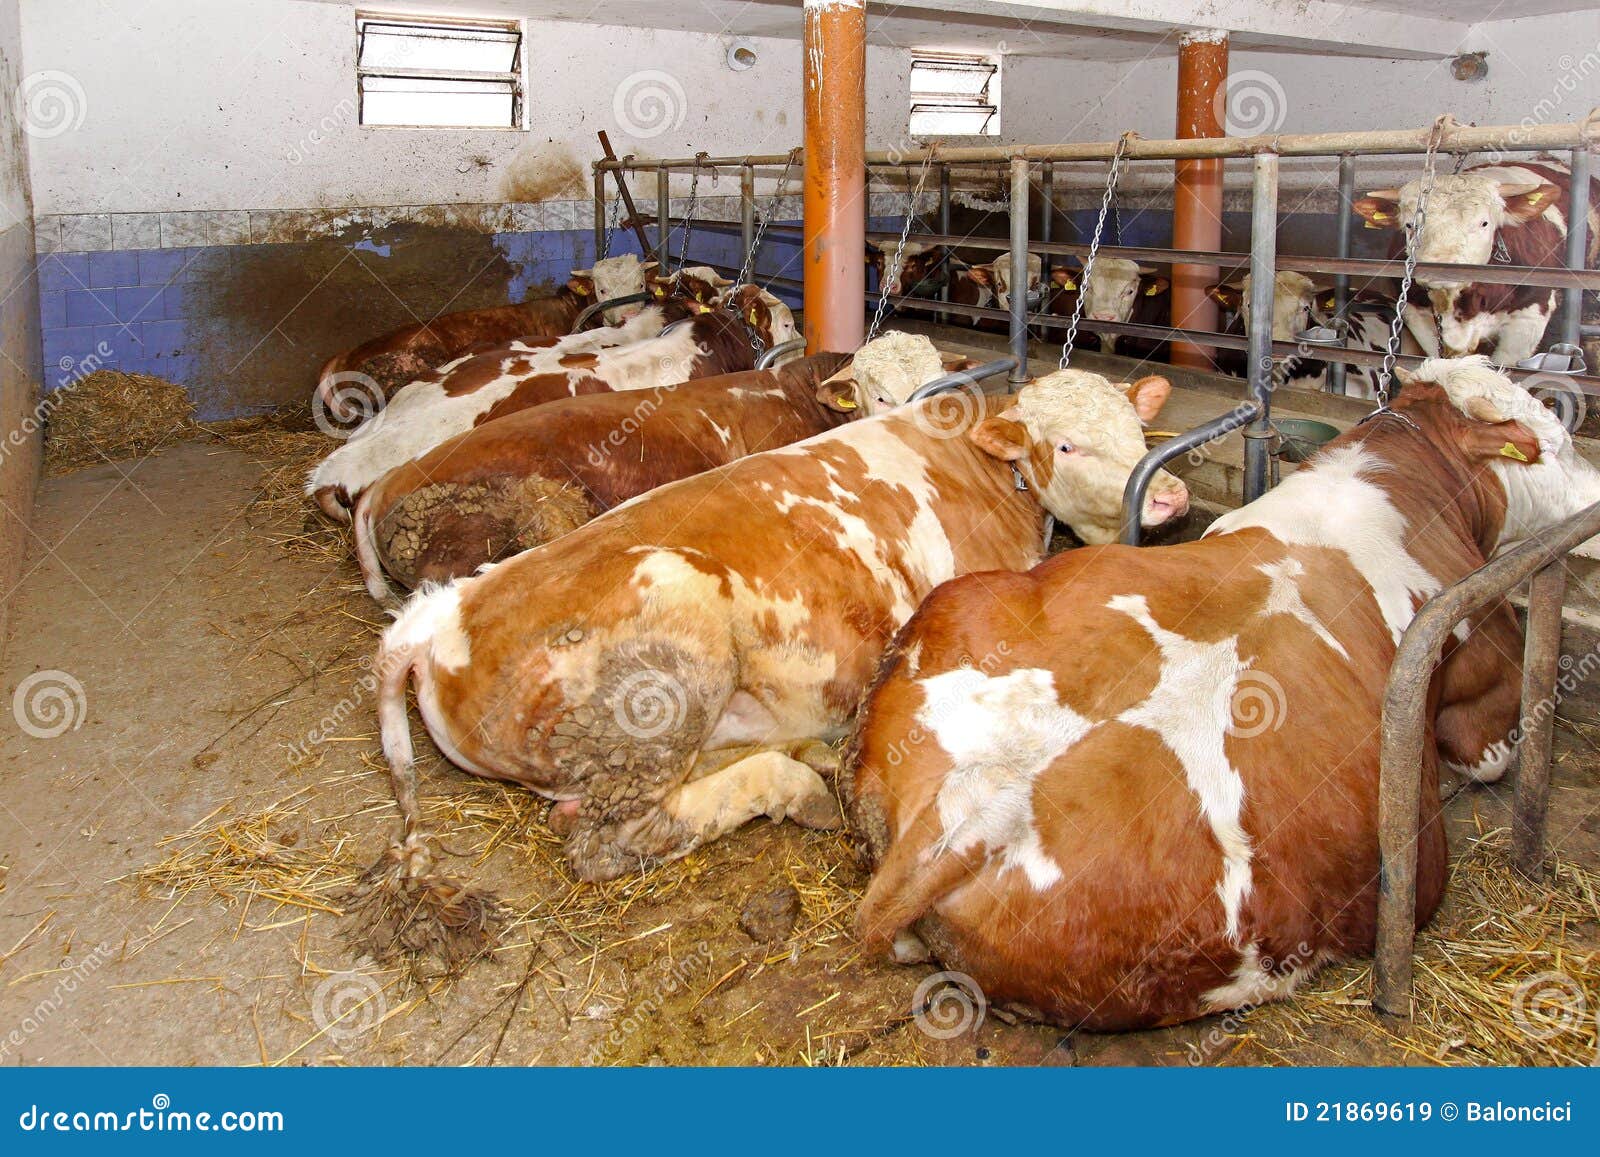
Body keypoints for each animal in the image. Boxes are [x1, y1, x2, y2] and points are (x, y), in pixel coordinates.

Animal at [370, 366, 1190, 890]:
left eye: (1138, 426)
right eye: (1067, 444)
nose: (1172, 494)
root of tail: (441, 610)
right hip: (663, 679)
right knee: (611, 841)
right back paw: (798, 785)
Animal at [844, 355, 1600, 1031]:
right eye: (1554, 444)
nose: (1592, 492)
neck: (1398, 481)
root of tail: (983, 803)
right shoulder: (1487, 684)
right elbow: (1493, 747)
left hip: (957, 607)